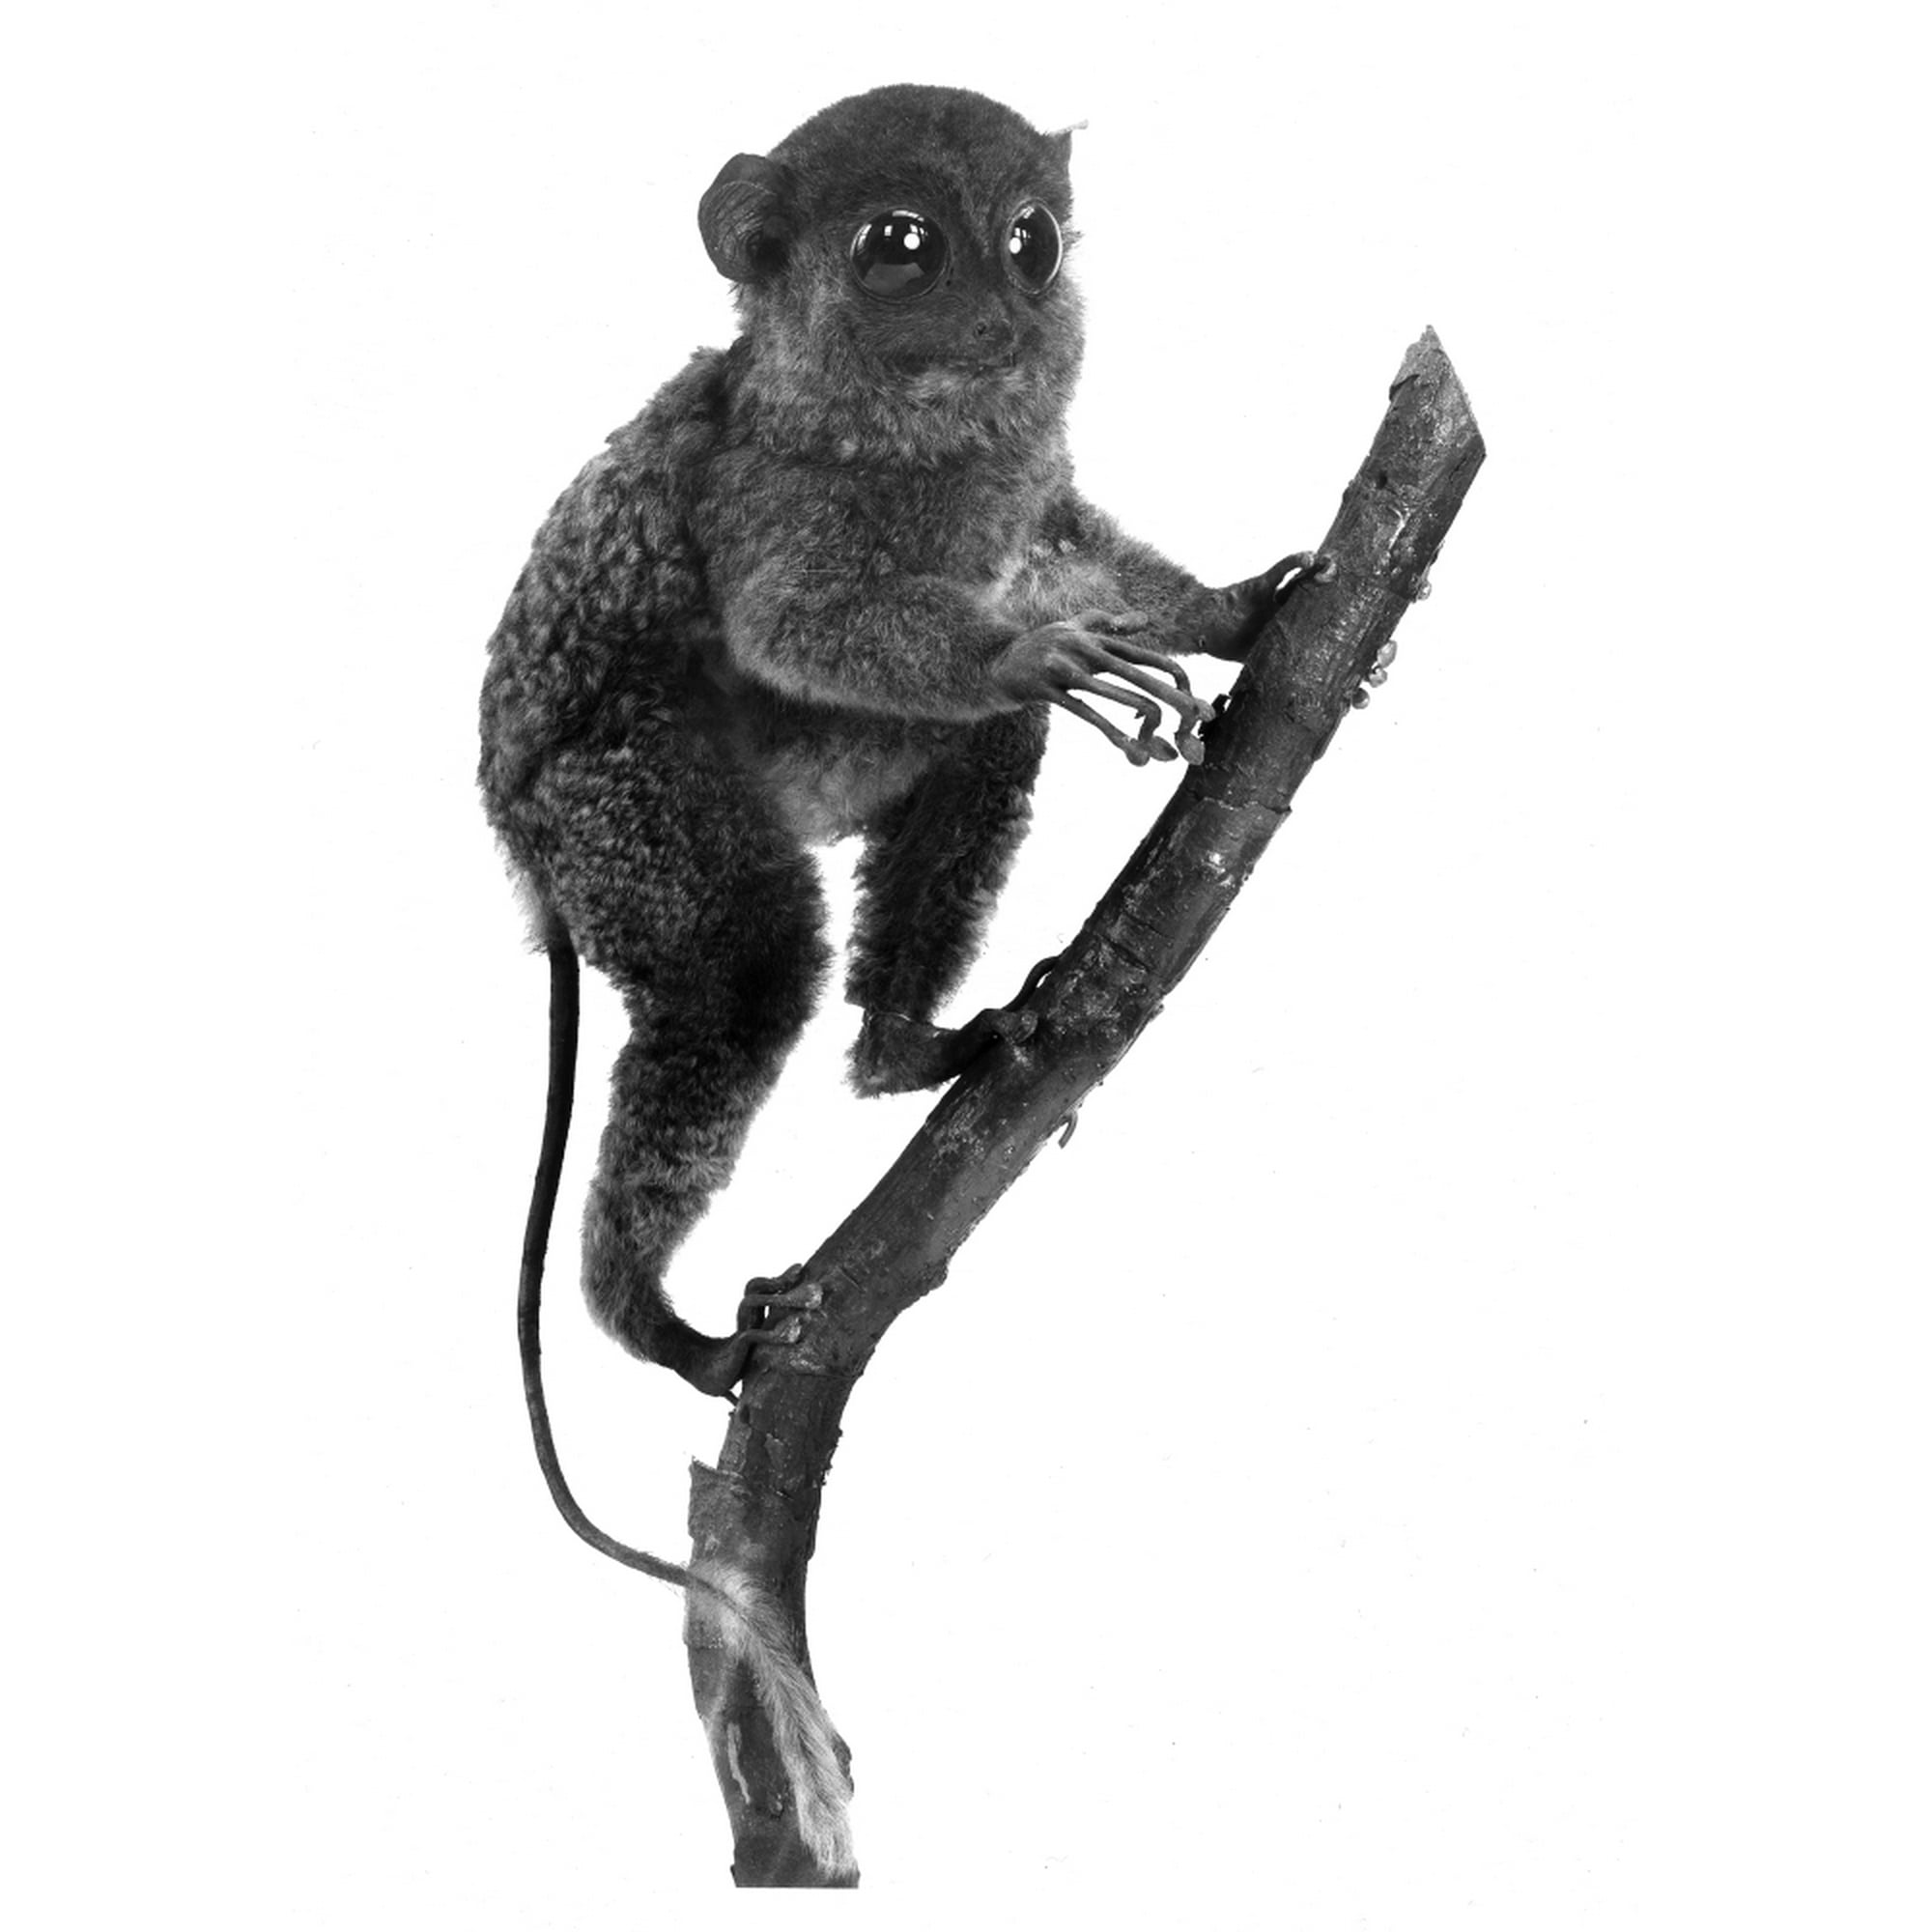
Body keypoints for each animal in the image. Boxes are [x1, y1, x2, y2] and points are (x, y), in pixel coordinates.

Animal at [480, 83, 1322, 1876]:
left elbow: (1067, 539)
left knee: (967, 764)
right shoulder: (767, 494)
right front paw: (1038, 651)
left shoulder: (1032, 482)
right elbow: (797, 621)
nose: (1009, 313)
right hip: (620, 810)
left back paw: (919, 1046)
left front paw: (1229, 612)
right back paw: (661, 1326)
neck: (922, 441)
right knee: (743, 970)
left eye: (1033, 239)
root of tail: (518, 851)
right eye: (898, 248)